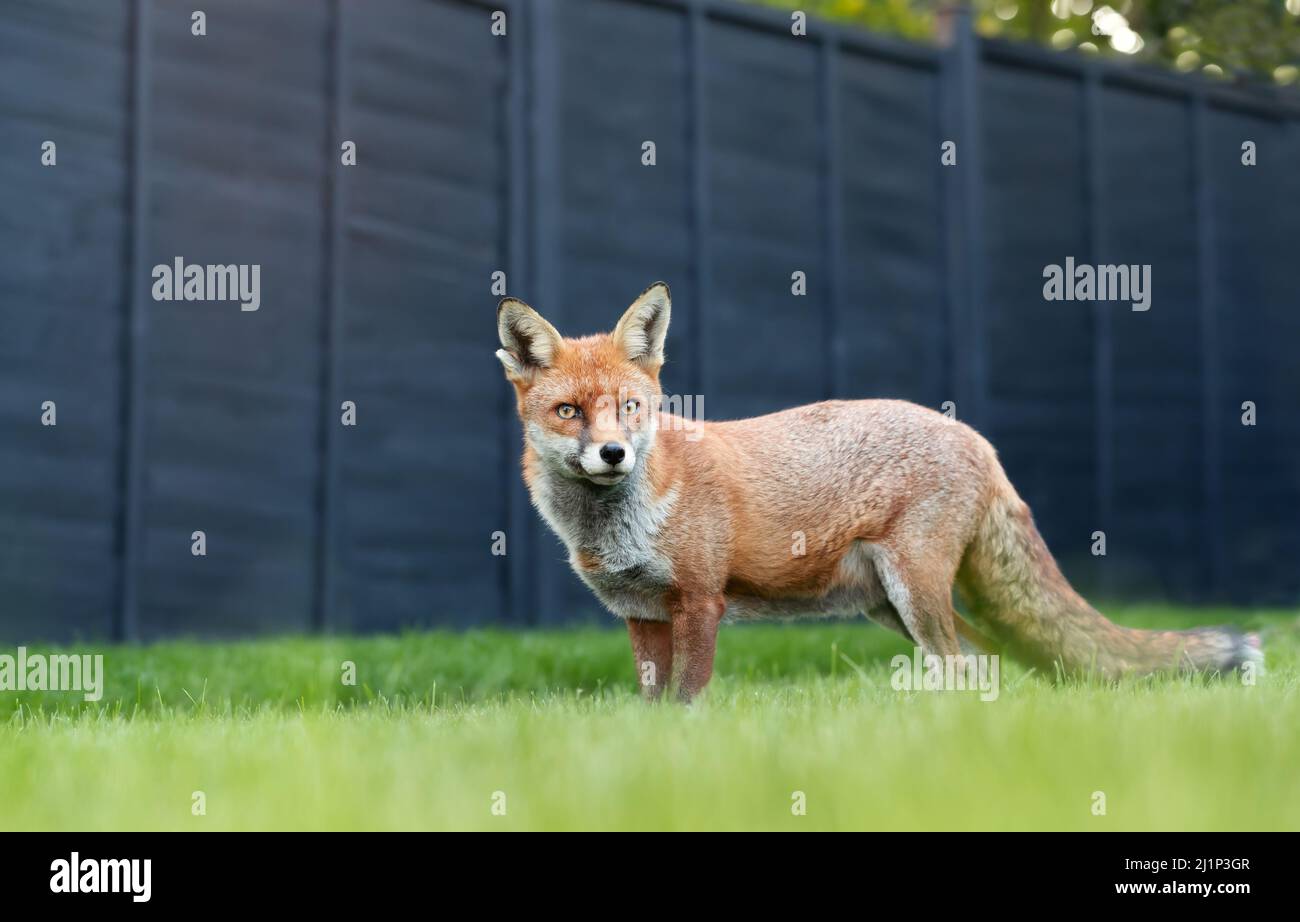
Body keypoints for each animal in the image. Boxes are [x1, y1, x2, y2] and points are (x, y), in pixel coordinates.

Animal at [495, 281, 1264, 702]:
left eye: (629, 407)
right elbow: (653, 708)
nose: (614, 454)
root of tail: (976, 439)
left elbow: (688, 701)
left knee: (961, 666)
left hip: (915, 591)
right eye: (570, 411)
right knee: (987, 663)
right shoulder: (643, 617)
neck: (621, 522)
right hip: (891, 607)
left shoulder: (700, 602)